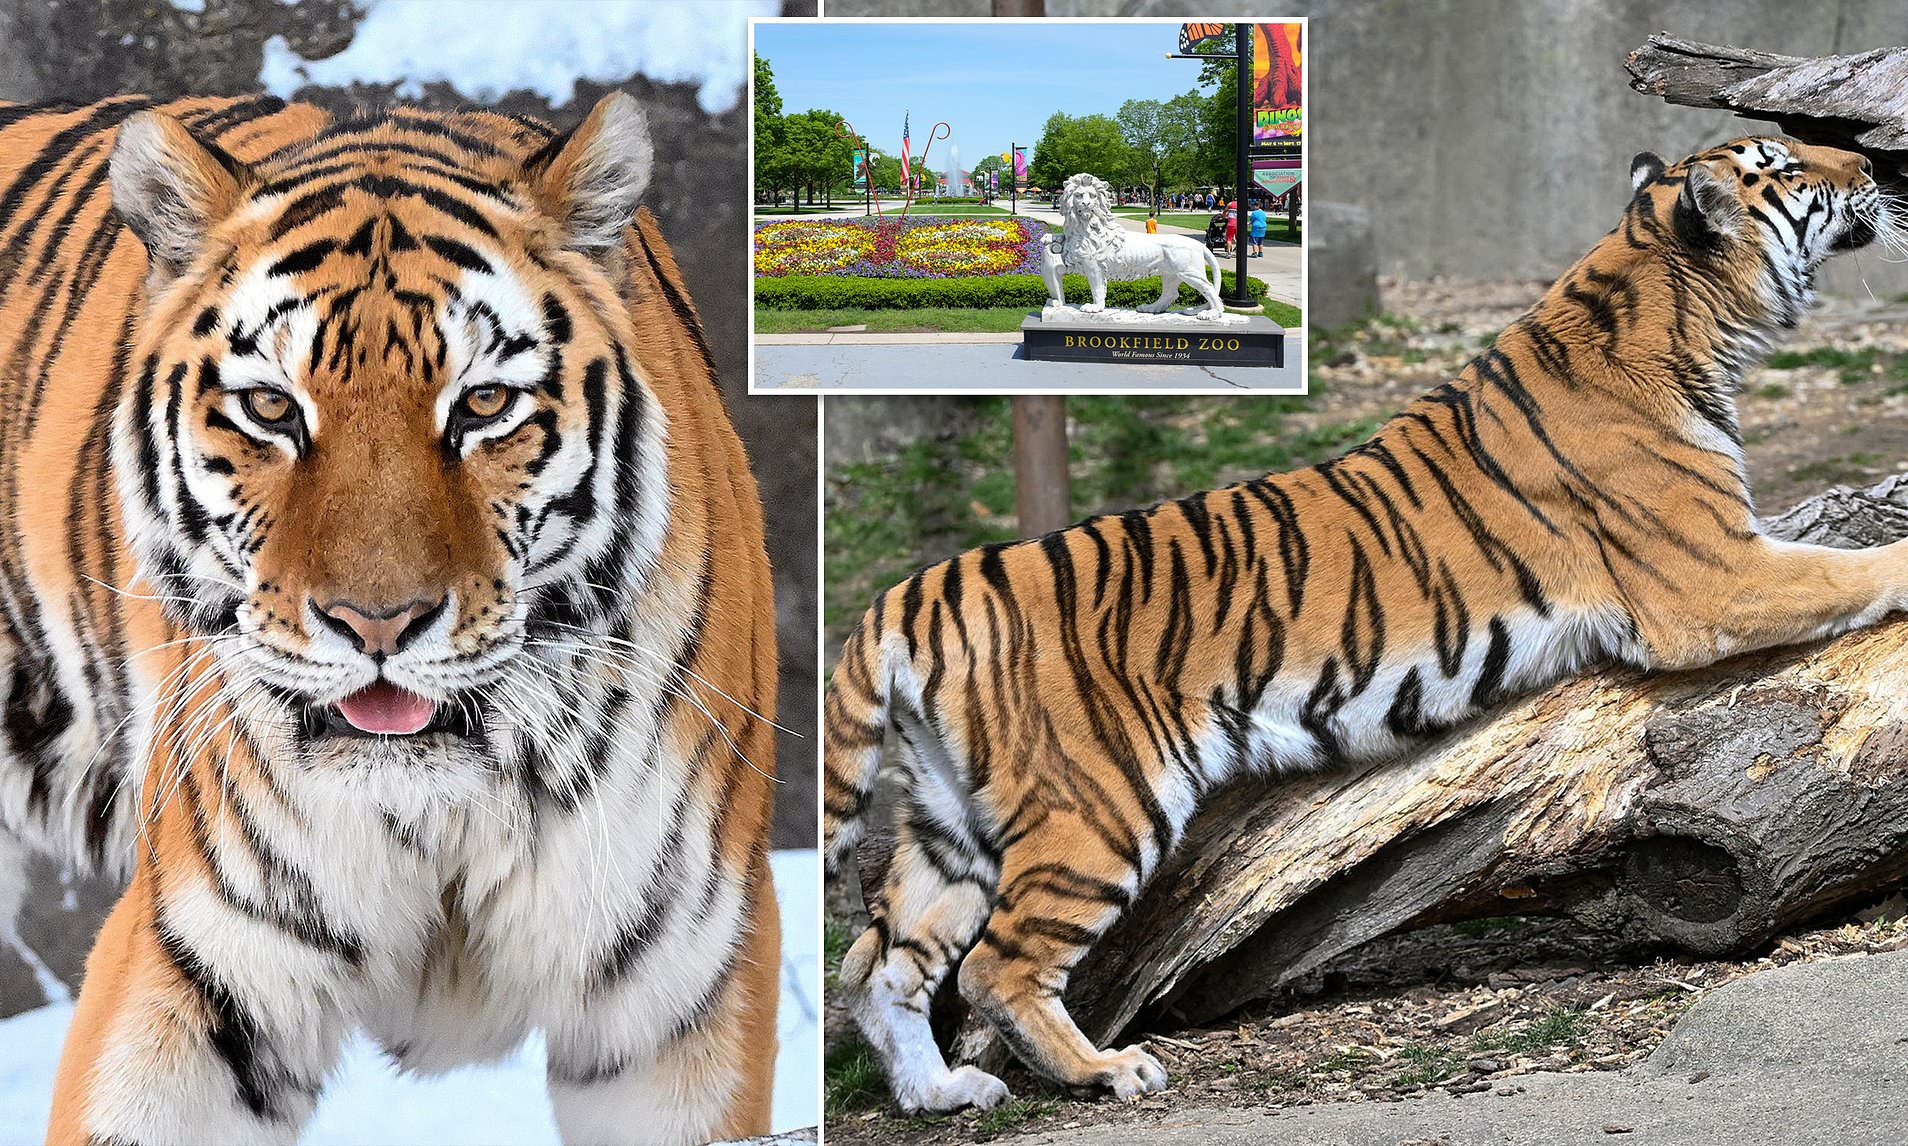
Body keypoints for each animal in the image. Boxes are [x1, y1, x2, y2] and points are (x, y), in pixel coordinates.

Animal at [822, 136, 1895, 1113]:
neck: (1666, 306)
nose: (1872, 163)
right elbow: (1861, 568)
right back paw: (1107, 1070)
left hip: (951, 825)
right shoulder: (1711, 579)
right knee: (991, 966)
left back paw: (940, 1093)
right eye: (1787, 166)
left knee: (877, 965)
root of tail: (914, 590)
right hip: (1098, 804)